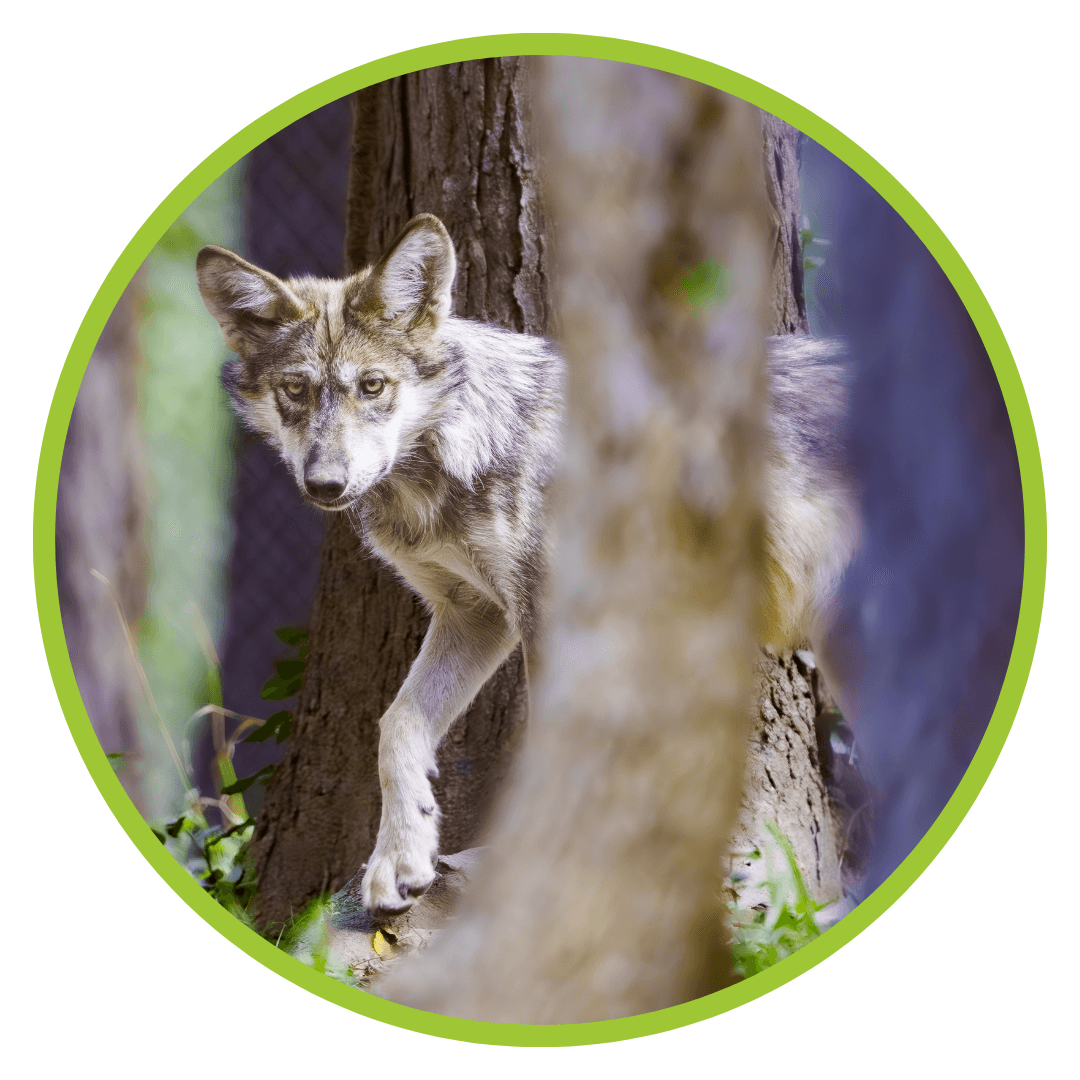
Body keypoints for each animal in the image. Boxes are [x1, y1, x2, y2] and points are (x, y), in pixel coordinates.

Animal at [197, 212, 858, 920]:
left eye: (372, 386)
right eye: (295, 390)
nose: (324, 485)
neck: (464, 452)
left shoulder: (554, 619)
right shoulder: (476, 615)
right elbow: (396, 725)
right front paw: (400, 860)